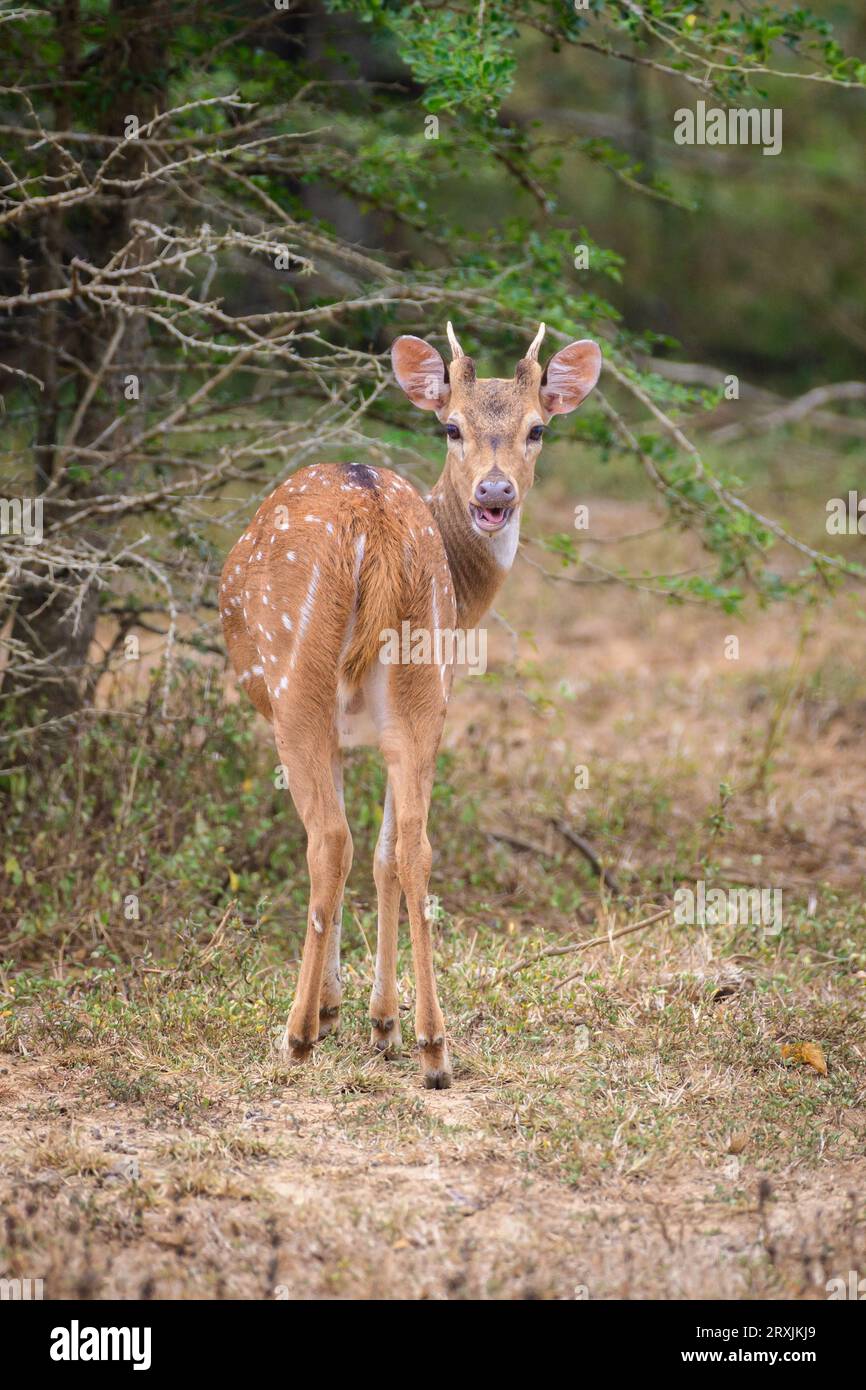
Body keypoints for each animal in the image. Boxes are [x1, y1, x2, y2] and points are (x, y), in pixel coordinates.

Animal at [220, 322, 601, 1088]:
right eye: (452, 426)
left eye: (538, 429)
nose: (495, 489)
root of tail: (373, 523)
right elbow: (388, 854)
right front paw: (379, 1020)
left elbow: (356, 848)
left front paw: (337, 1010)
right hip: (424, 686)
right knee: (414, 847)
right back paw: (431, 1045)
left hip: (296, 683)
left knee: (327, 841)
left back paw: (296, 1036)